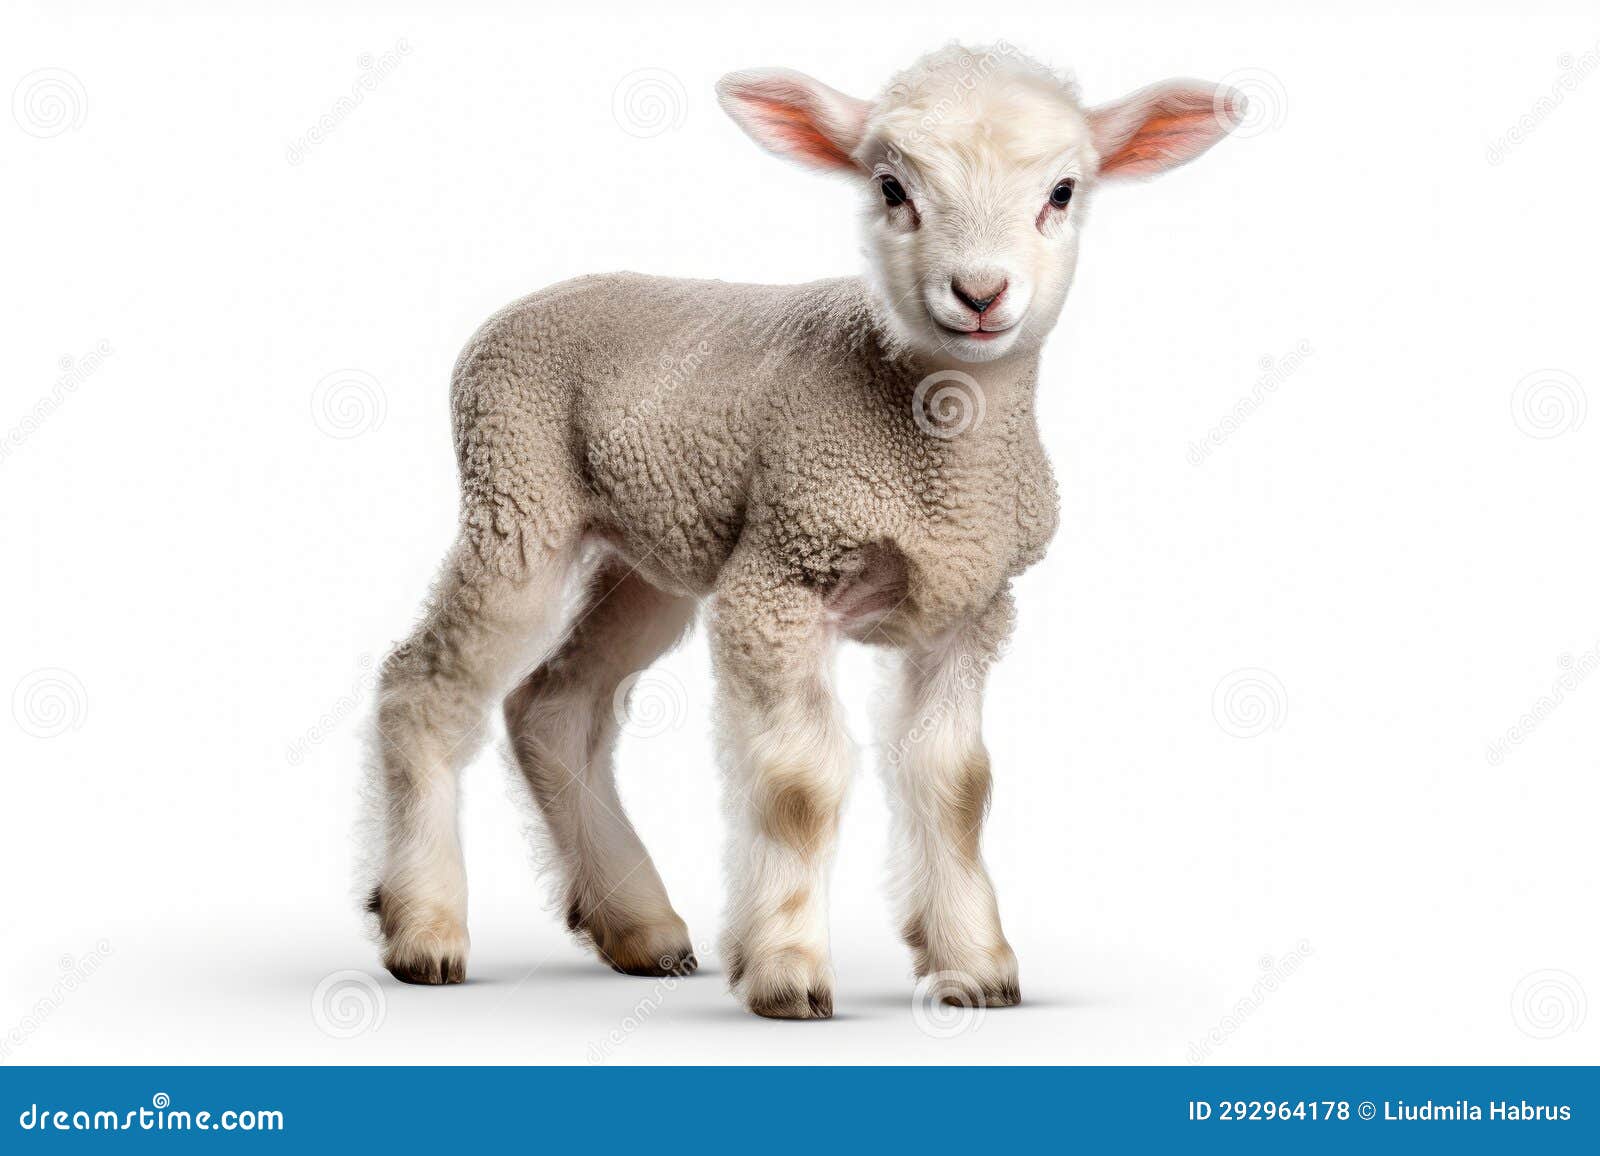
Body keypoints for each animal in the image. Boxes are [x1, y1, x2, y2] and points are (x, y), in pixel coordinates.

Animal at [367, 43, 1245, 1018]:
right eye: (892, 187)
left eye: (1062, 191)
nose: (980, 293)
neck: (930, 439)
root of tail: (527, 305)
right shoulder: (782, 575)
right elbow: (800, 784)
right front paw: (787, 968)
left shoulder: (971, 607)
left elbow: (956, 782)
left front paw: (974, 964)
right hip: (519, 500)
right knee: (426, 688)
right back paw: (424, 929)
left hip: (648, 558)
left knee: (555, 704)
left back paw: (639, 926)